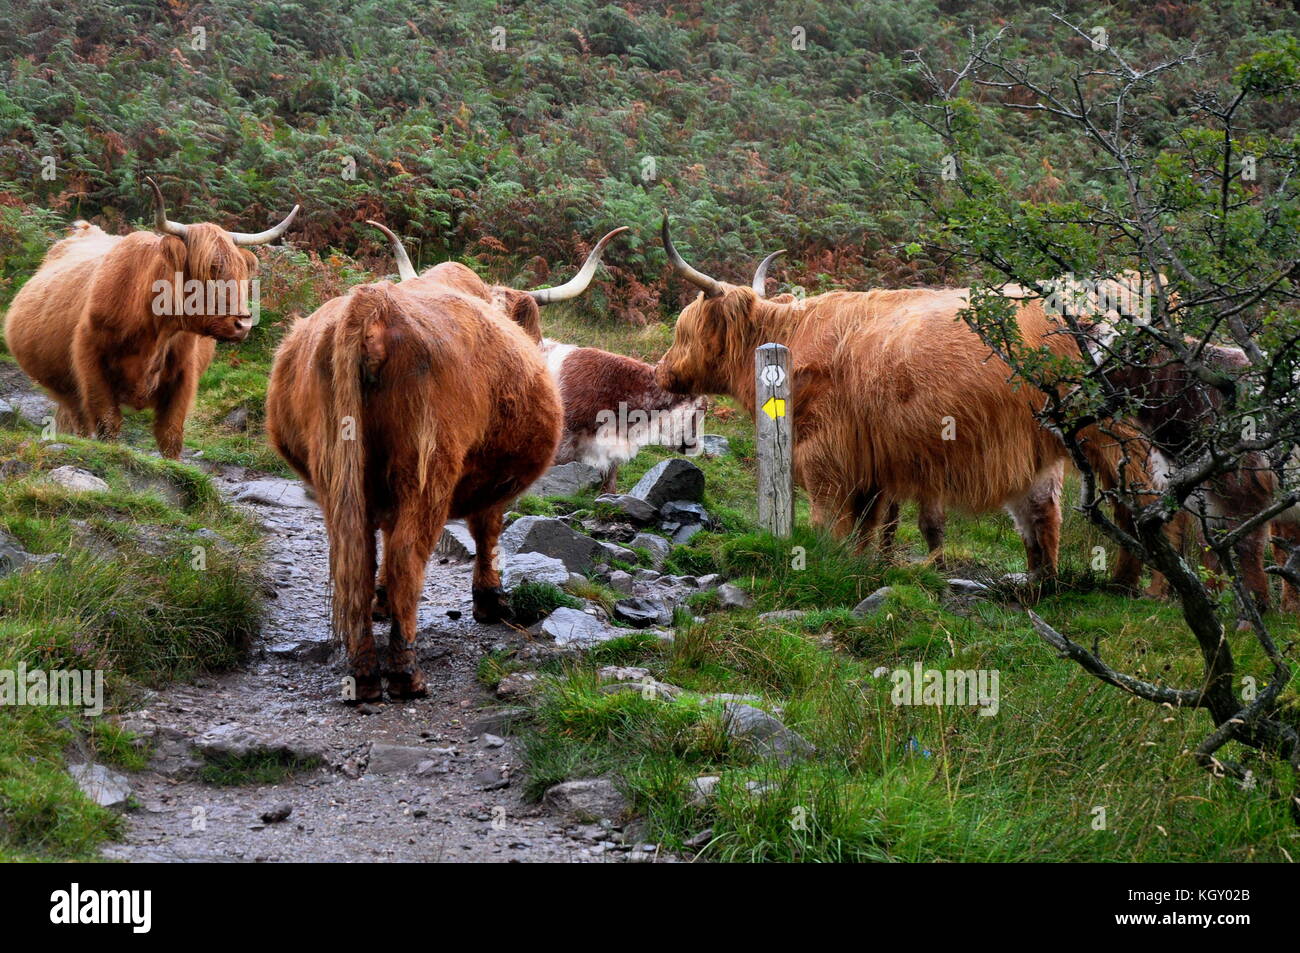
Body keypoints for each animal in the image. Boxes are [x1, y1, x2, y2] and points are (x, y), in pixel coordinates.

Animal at [3, 179, 297, 458]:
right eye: (209, 270)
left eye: (240, 272)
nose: (243, 324)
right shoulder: (91, 363)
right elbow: (107, 423)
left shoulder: (184, 376)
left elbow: (170, 434)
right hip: (64, 386)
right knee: (78, 420)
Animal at [265, 228, 616, 703]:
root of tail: (372, 306)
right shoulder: (490, 482)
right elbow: (487, 531)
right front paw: (490, 600)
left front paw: (382, 602)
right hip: (428, 470)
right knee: (407, 556)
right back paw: (404, 673)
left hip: (337, 474)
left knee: (355, 560)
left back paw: (364, 671)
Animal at [653, 217, 1139, 581]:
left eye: (684, 329)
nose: (661, 370)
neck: (788, 340)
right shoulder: (873, 465)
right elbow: (868, 526)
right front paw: (860, 563)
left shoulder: (825, 454)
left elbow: (830, 520)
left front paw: (826, 560)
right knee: (1043, 514)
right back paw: (1040, 585)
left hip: (1117, 431)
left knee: (1139, 501)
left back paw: (1127, 585)